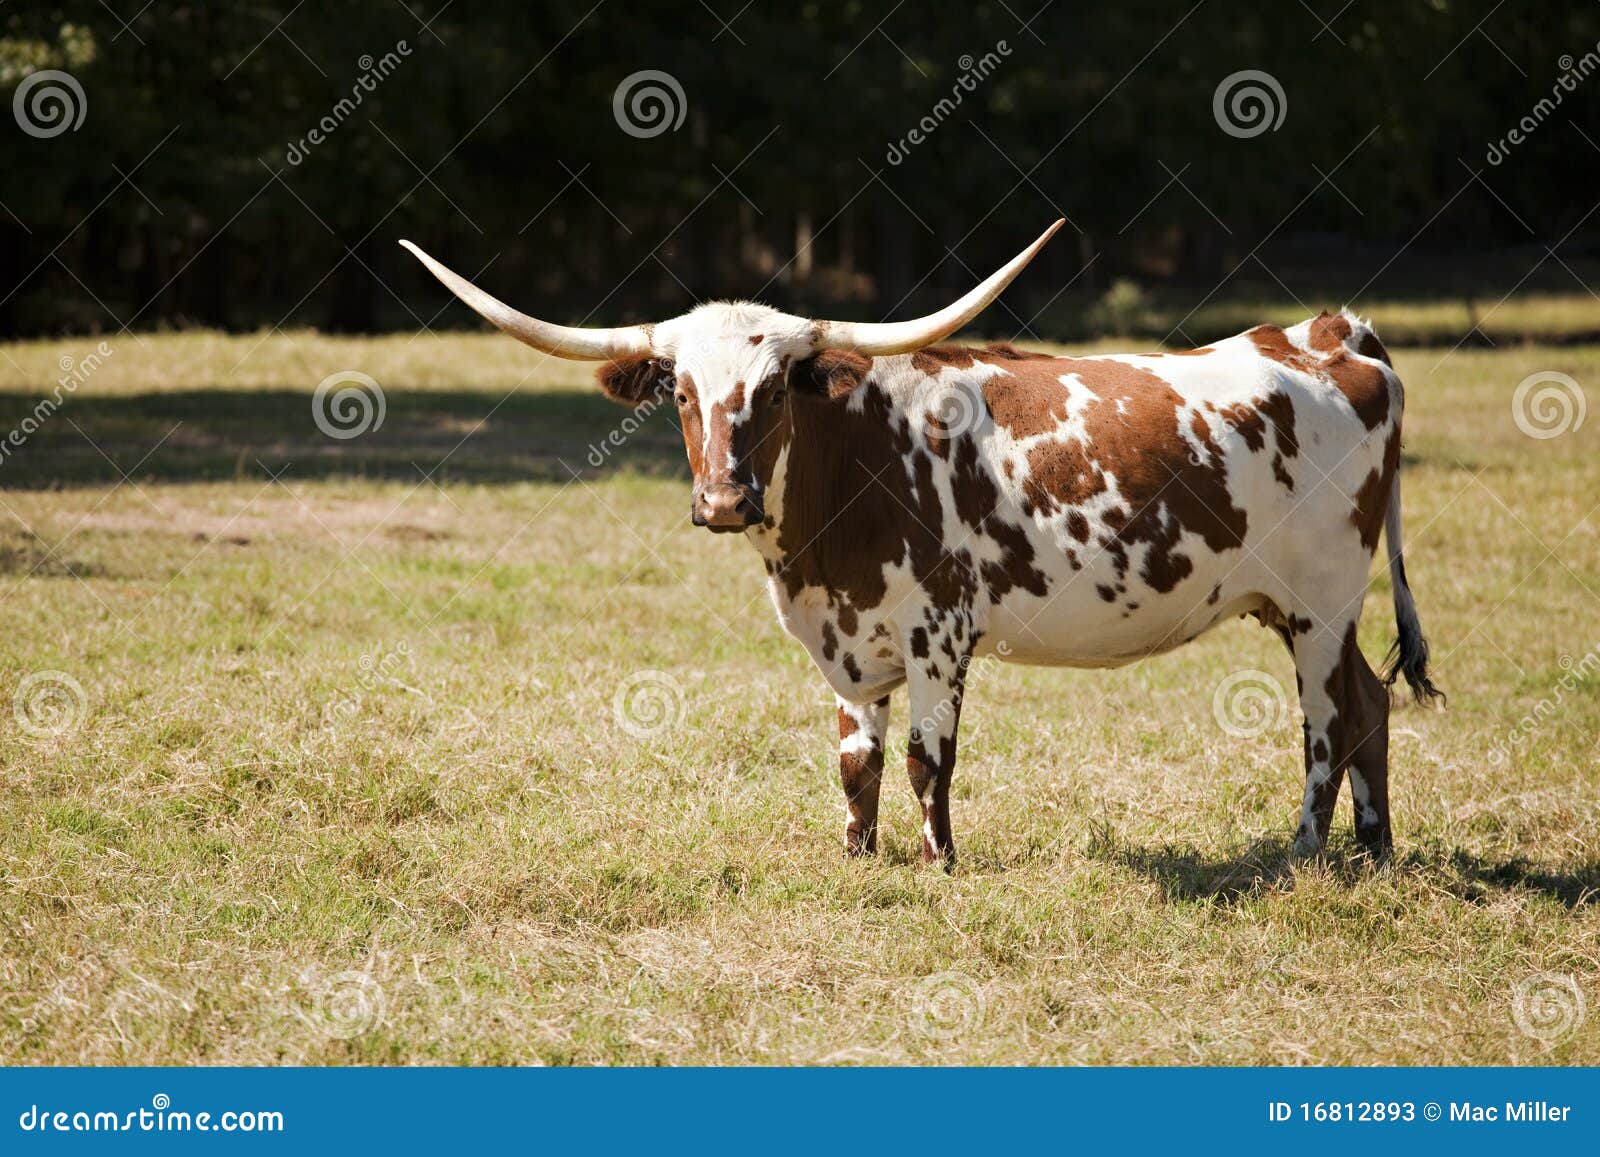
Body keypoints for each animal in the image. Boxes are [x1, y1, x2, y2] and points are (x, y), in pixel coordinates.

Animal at [401, 221, 1442, 870]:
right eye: (683, 395)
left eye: (774, 391)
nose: (724, 500)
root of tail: (1329, 332)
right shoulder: (844, 640)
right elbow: (856, 763)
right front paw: (860, 862)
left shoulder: (940, 629)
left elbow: (923, 758)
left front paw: (940, 865)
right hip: (1301, 609)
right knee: (1371, 704)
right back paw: (1375, 851)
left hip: (1320, 606)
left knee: (1330, 720)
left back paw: (1306, 851)